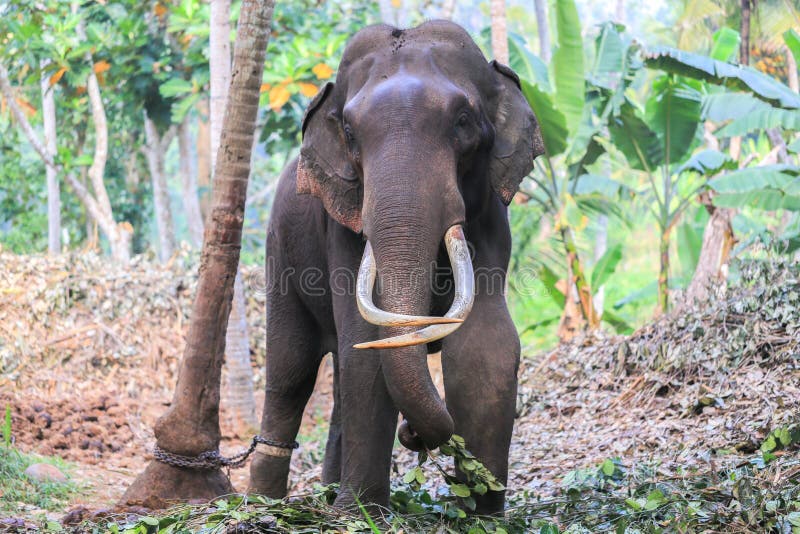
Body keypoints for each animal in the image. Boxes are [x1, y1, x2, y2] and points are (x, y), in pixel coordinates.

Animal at [248, 20, 544, 514]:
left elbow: (485, 344)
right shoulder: (342, 222)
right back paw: (264, 505)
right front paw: (363, 513)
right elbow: (367, 346)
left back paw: (327, 495)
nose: (414, 436)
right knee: (291, 371)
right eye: (349, 132)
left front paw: (483, 512)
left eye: (463, 121)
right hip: (279, 253)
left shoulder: (491, 217)